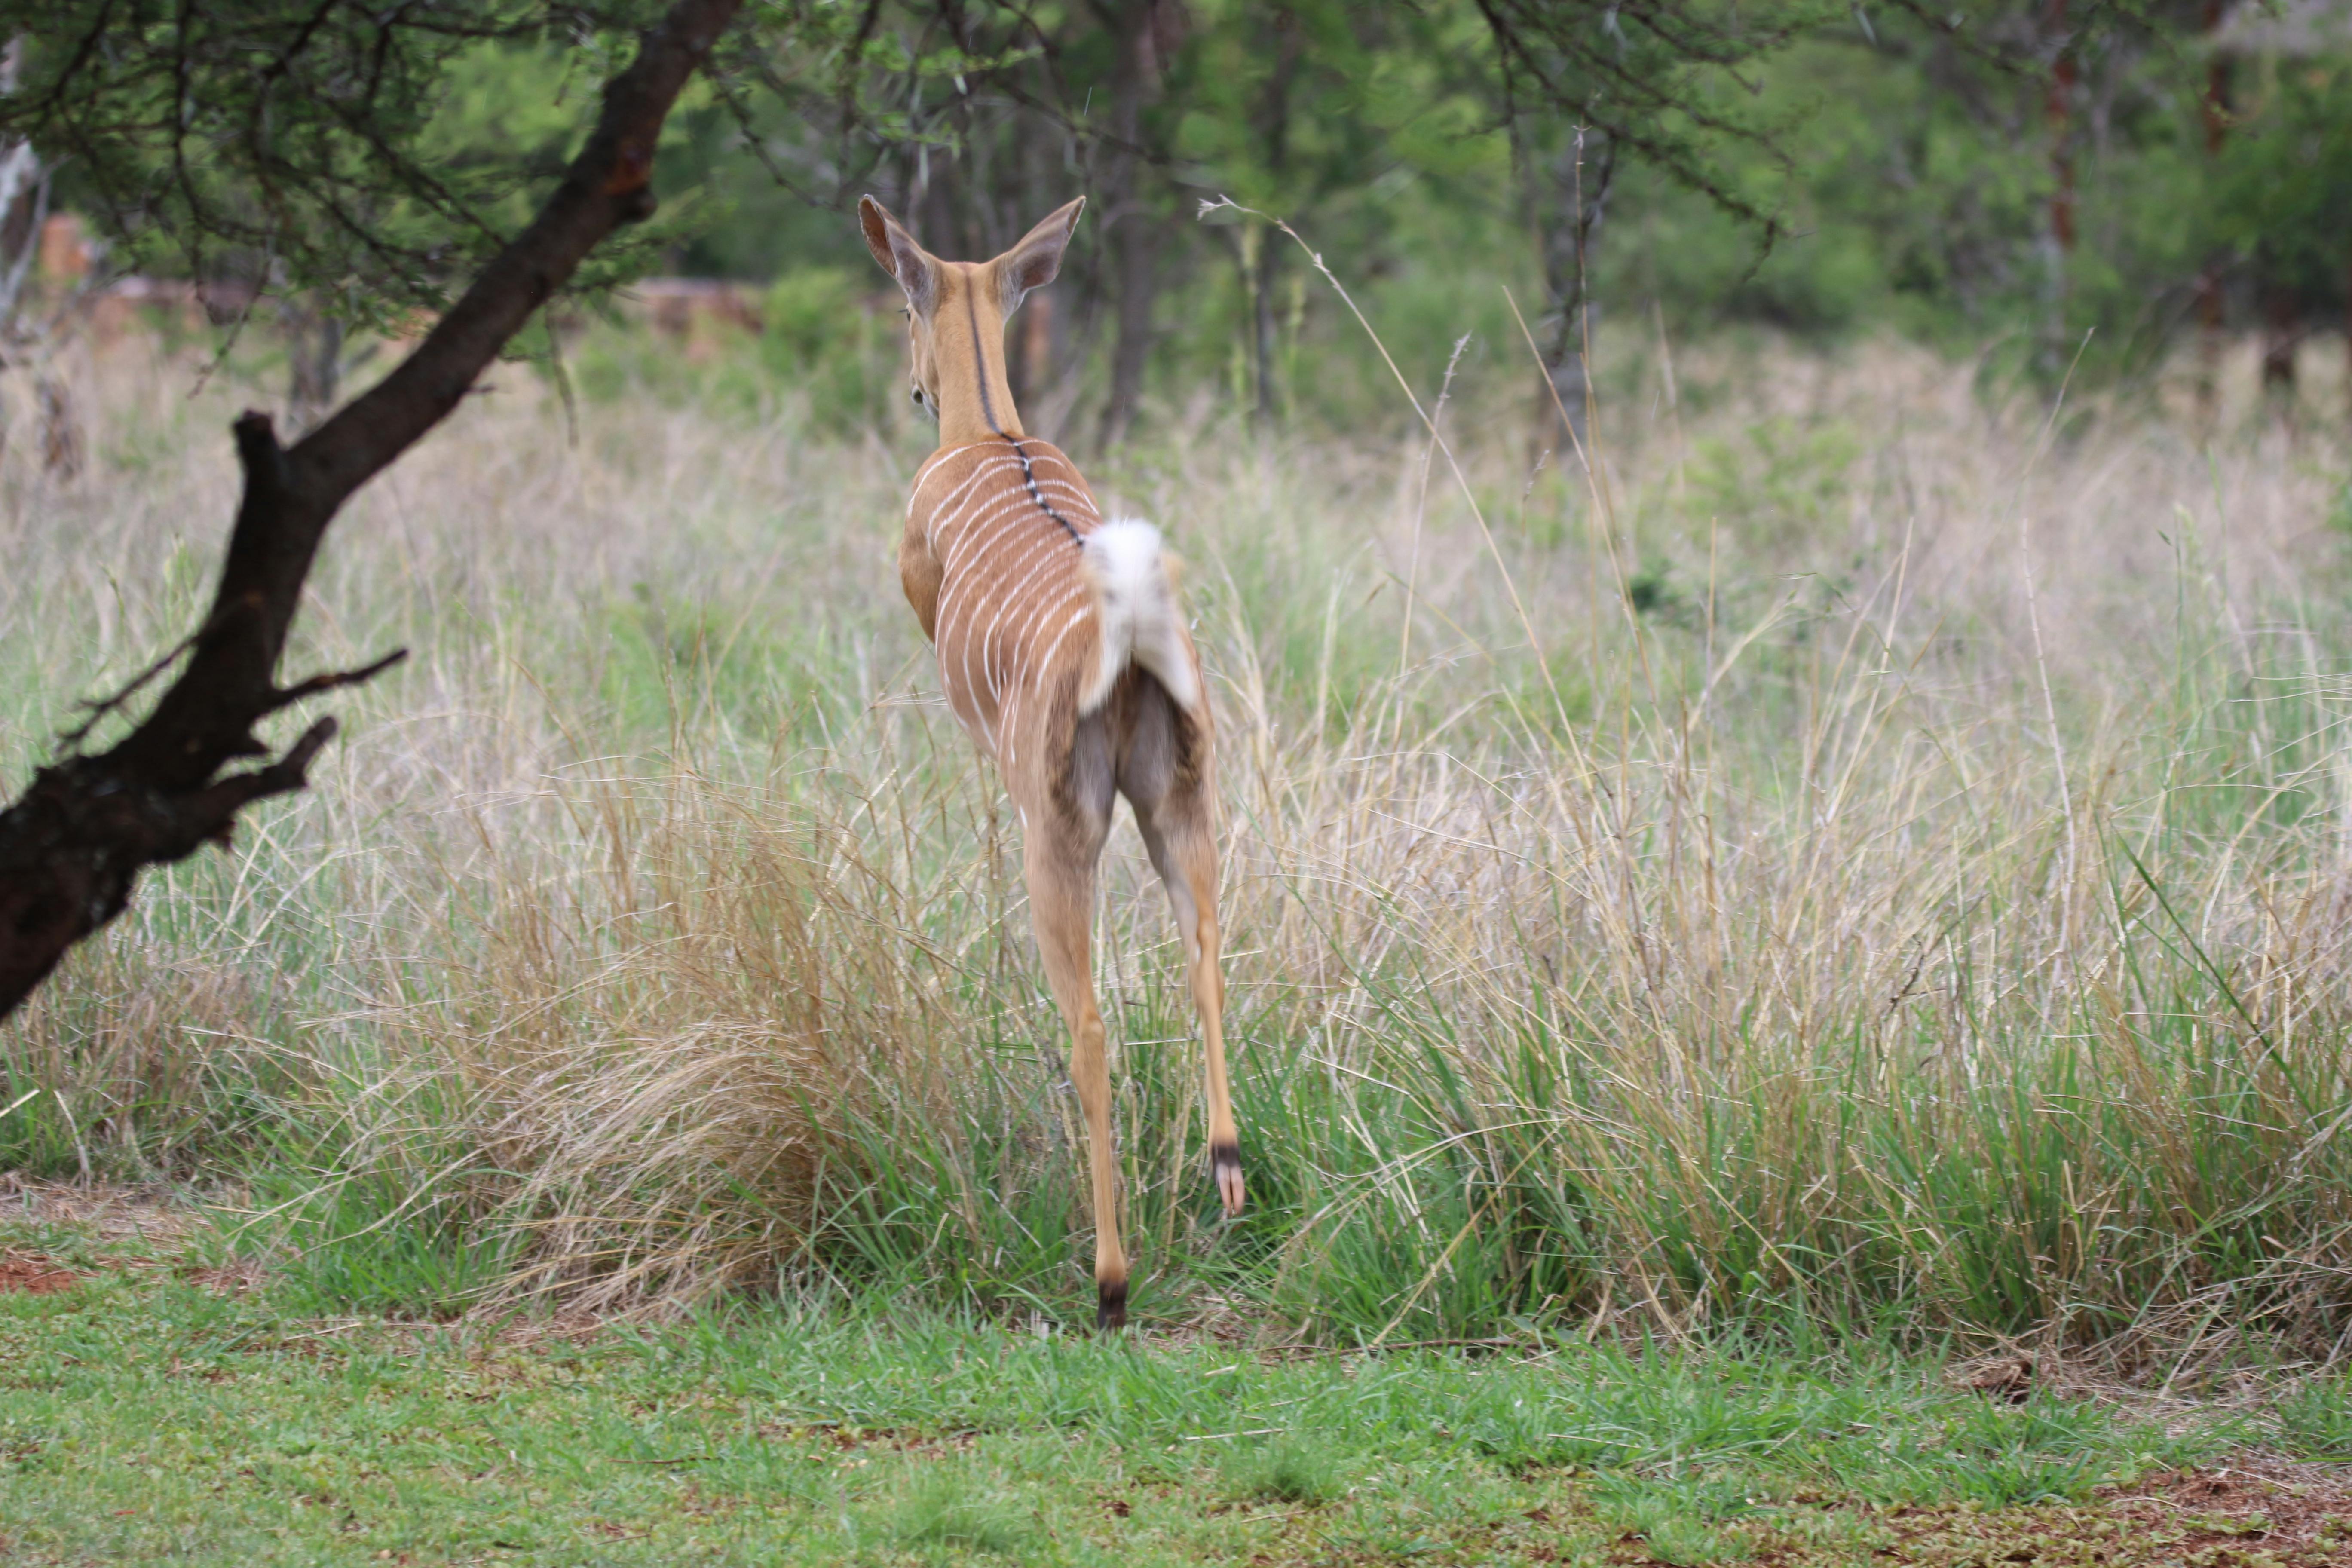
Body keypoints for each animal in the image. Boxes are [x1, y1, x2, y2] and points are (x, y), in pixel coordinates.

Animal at [858, 194, 1240, 1330]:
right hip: (1181, 799)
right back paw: (1227, 1171)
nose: (913, 386)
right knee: (1205, 954)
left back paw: (1110, 1284)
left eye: (903, 305)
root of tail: (1131, 646)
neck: (989, 429)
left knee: (1092, 1027)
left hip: (1063, 829)